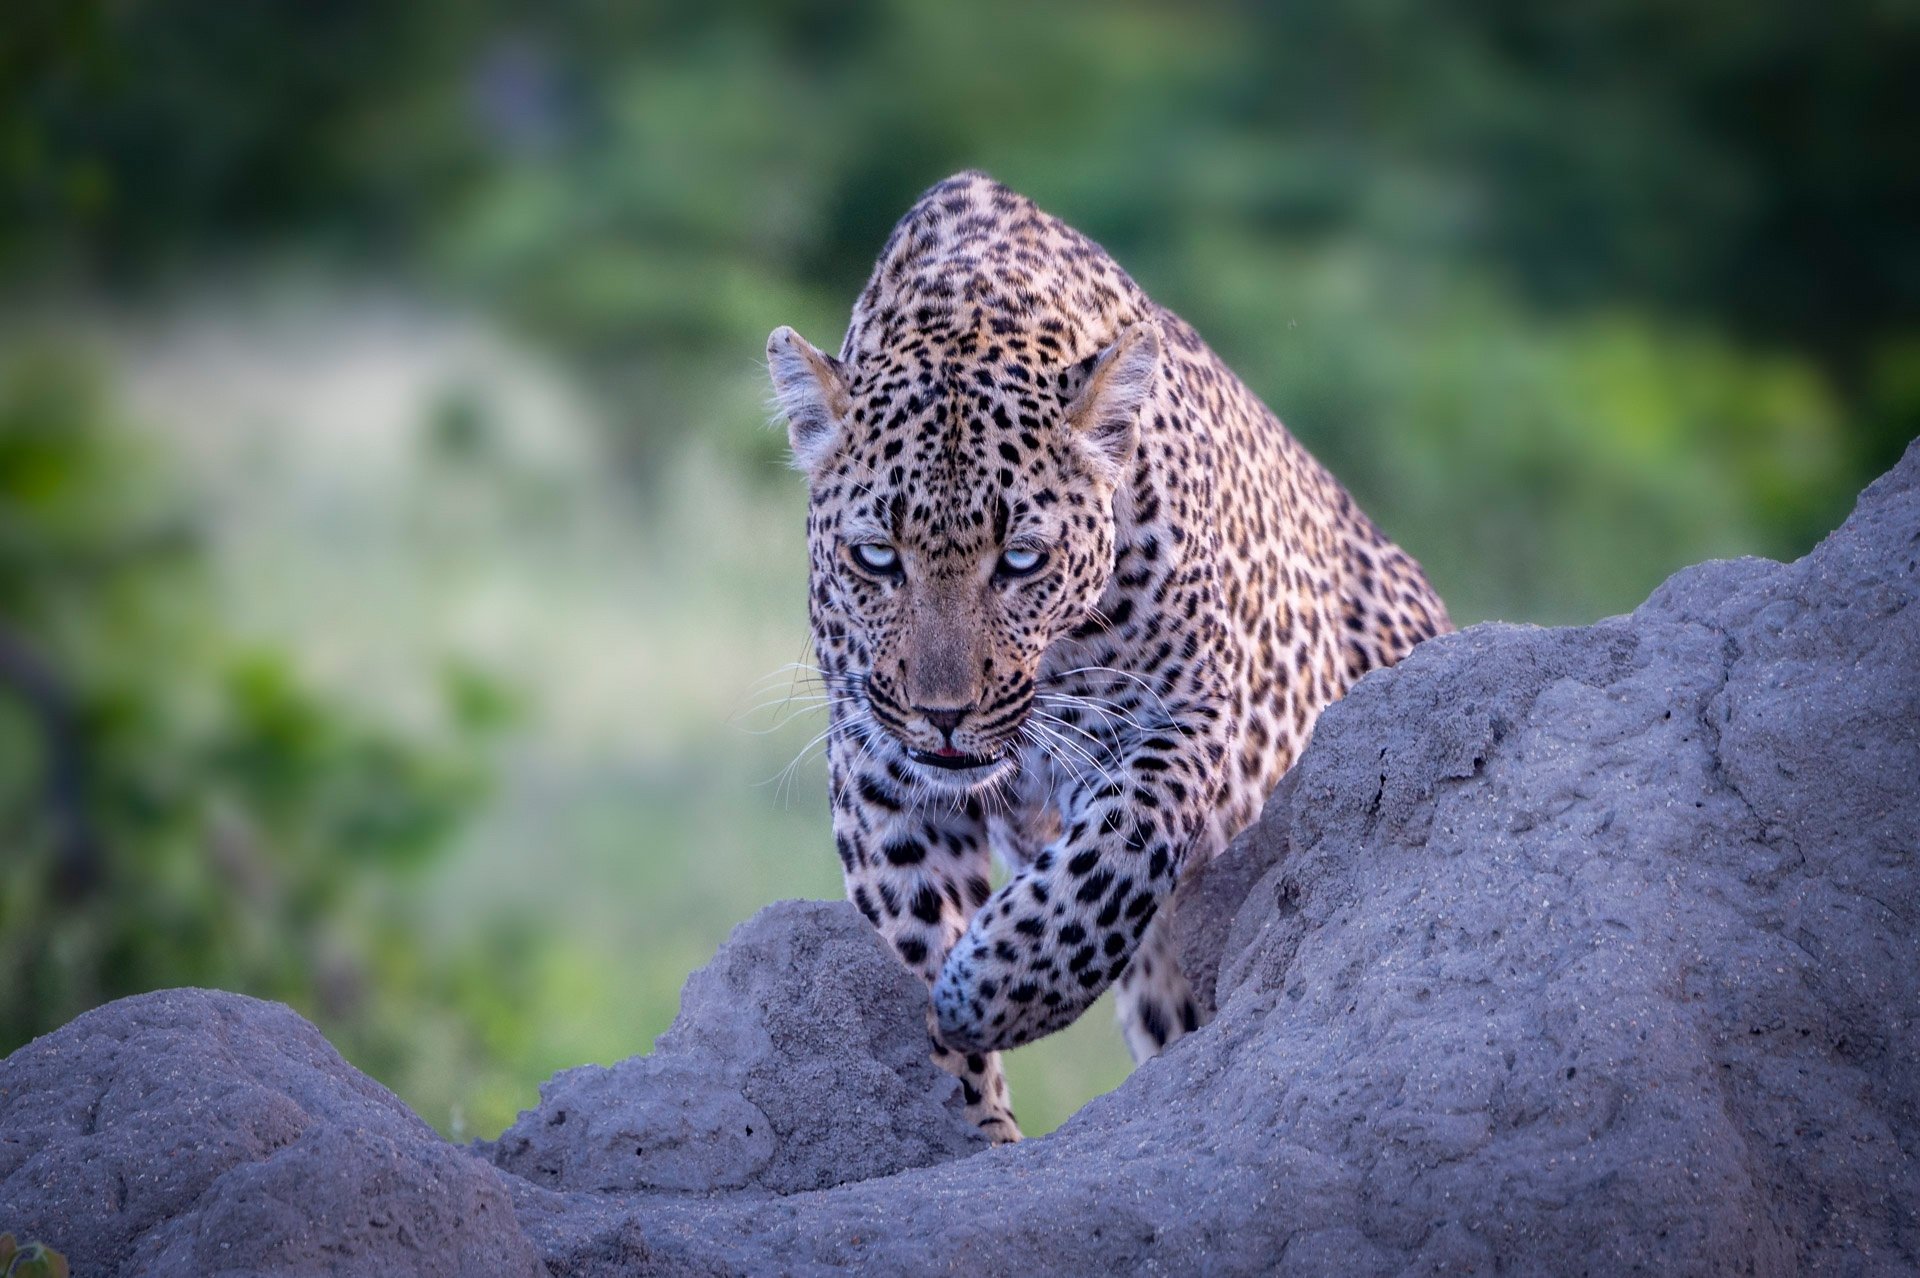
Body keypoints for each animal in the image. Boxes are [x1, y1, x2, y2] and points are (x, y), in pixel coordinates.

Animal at [766, 171, 1450, 1142]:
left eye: (1021, 561)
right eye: (876, 558)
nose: (943, 716)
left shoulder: (1184, 716)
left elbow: (1118, 851)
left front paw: (995, 992)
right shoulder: (879, 763)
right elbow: (913, 944)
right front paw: (964, 1119)